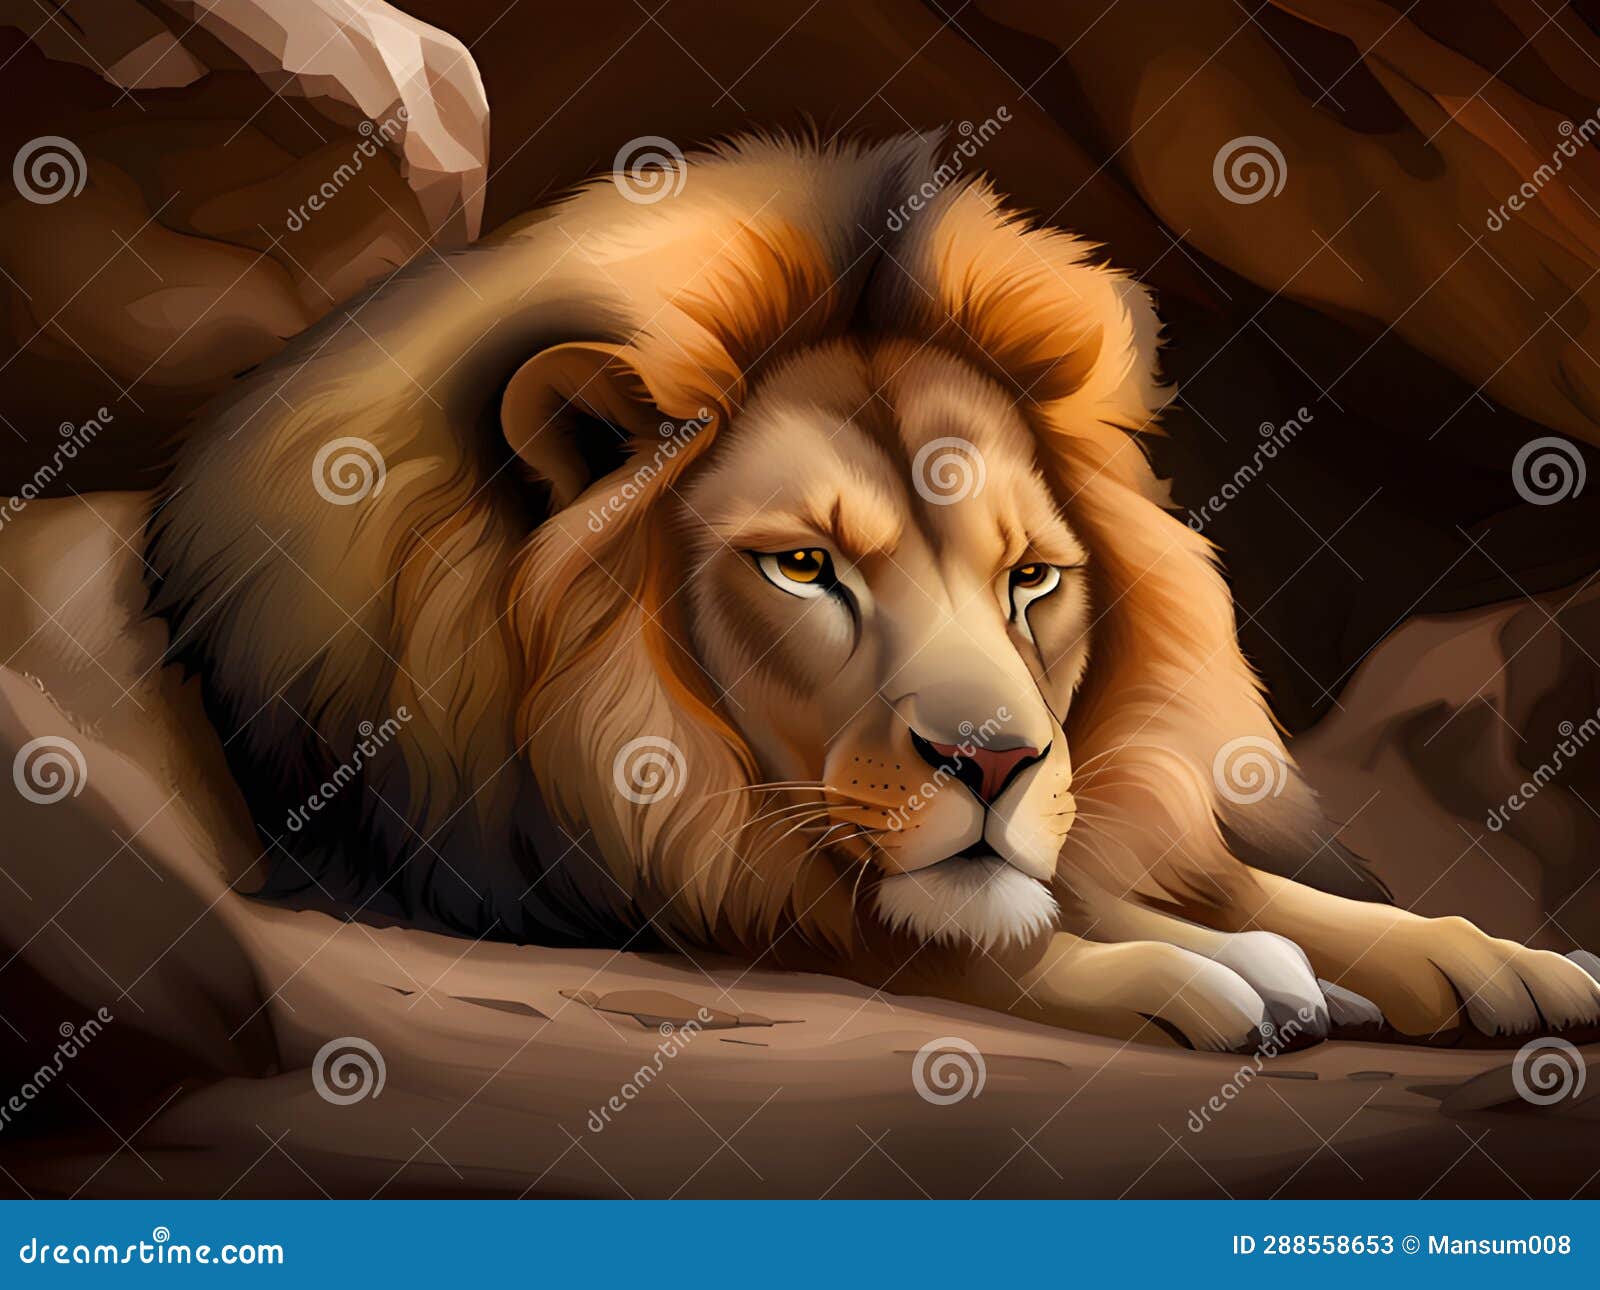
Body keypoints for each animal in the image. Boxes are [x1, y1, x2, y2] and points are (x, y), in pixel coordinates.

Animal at [143, 132, 1600, 1051]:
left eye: (1031, 578)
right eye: (803, 566)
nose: (995, 762)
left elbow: (1224, 881)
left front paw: (1488, 957)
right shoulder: (599, 873)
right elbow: (950, 930)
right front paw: (1205, 975)